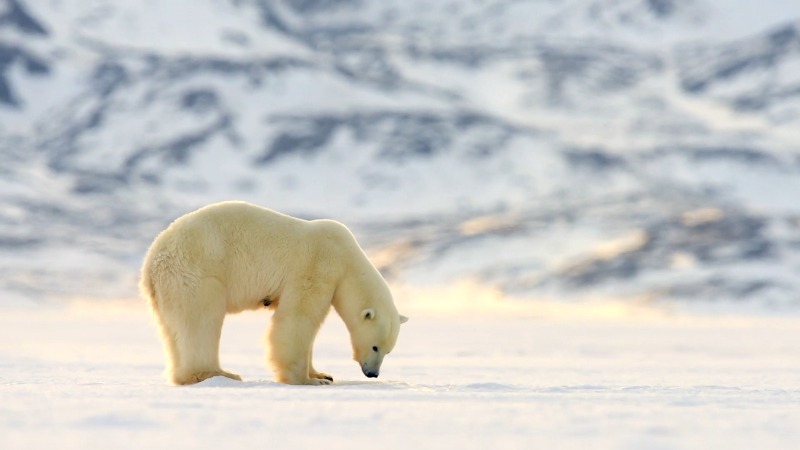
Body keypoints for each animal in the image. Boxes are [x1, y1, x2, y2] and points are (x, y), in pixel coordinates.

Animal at [139, 201, 408, 385]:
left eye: (389, 350)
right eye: (375, 347)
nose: (372, 373)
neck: (346, 256)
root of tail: (152, 261)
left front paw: (322, 373)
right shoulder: (316, 266)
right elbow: (298, 318)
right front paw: (309, 380)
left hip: (167, 287)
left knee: (173, 330)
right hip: (197, 269)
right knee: (202, 320)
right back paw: (216, 373)